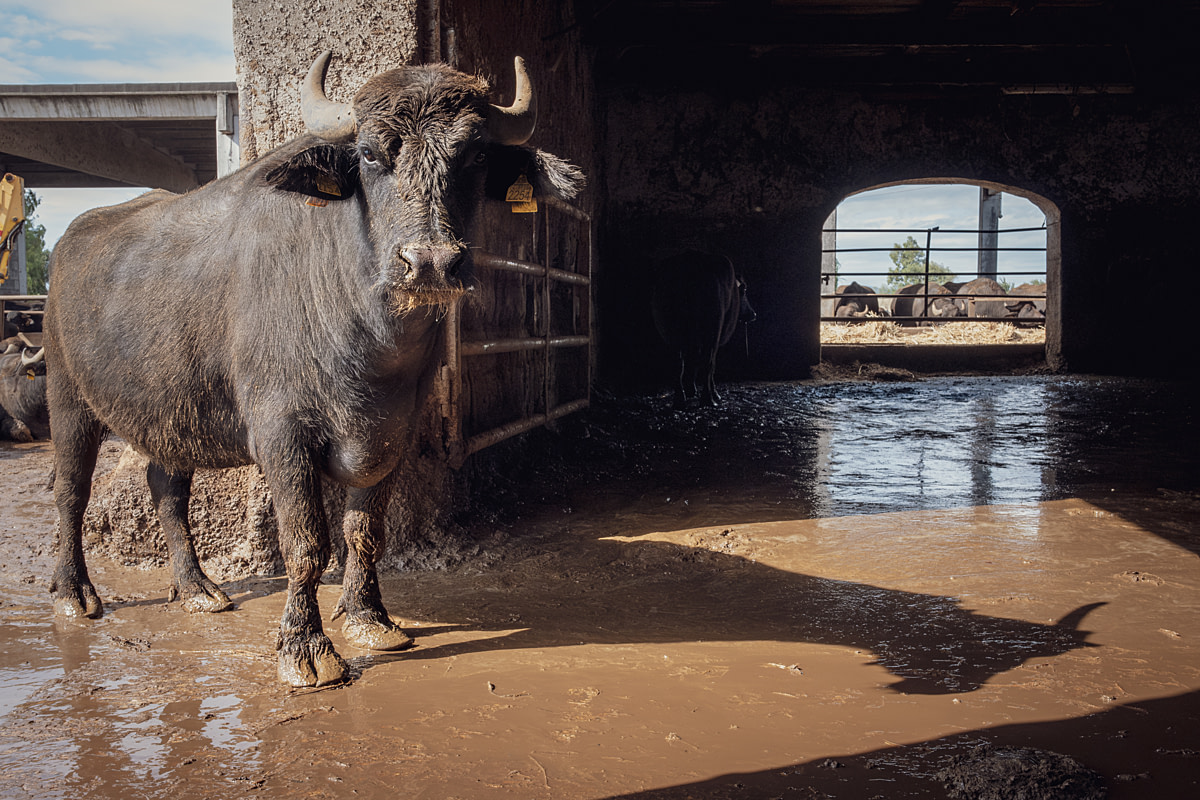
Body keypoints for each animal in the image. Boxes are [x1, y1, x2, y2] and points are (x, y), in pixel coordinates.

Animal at [44, 52, 583, 687]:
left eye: (474, 154)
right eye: (372, 153)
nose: (429, 262)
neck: (369, 345)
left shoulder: (392, 432)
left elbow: (364, 532)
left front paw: (371, 619)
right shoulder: (281, 435)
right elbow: (306, 542)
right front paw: (305, 649)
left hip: (169, 408)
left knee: (167, 490)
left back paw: (197, 588)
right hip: (67, 398)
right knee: (71, 491)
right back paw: (74, 593)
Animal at [652, 251, 756, 409]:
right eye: (744, 291)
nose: (753, 314)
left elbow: (693, 360)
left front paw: (691, 389)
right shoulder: (717, 336)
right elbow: (711, 364)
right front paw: (713, 393)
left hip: (672, 329)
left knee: (679, 362)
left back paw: (680, 398)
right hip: (712, 328)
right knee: (708, 362)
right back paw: (708, 398)